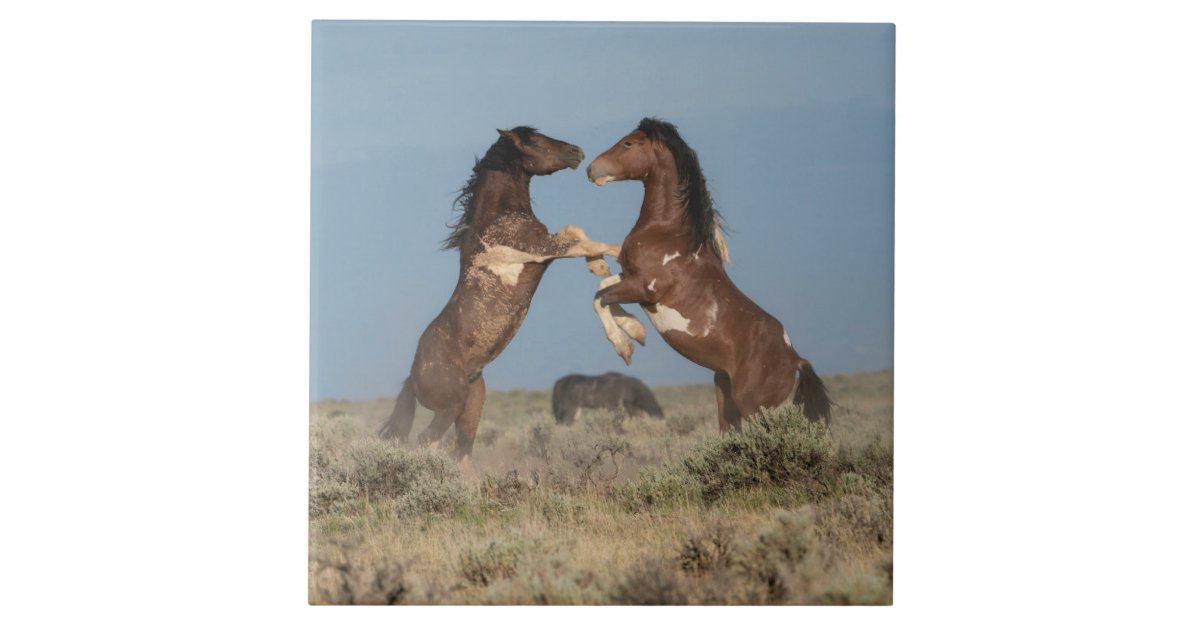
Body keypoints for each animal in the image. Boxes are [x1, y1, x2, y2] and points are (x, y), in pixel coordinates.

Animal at [378, 127, 621, 458]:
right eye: (534, 141)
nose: (576, 151)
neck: (497, 217)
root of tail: (413, 378)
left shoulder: (547, 245)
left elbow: (577, 233)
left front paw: (599, 267)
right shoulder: (543, 248)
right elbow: (586, 241)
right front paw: (623, 253)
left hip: (471, 408)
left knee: (460, 452)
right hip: (449, 407)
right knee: (424, 441)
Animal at [585, 117, 832, 431]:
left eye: (628, 143)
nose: (591, 168)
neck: (667, 232)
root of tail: (795, 359)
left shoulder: (645, 288)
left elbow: (600, 298)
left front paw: (625, 347)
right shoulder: (628, 277)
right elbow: (602, 288)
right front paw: (636, 331)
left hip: (753, 406)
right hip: (724, 394)